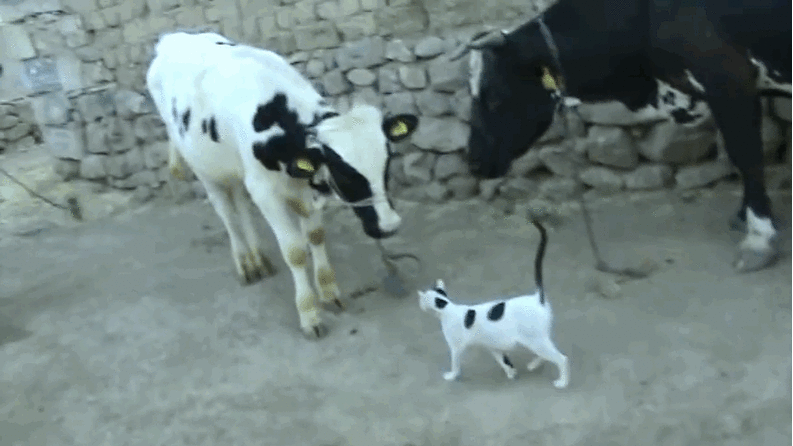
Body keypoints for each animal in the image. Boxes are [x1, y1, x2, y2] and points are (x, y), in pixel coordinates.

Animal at [146, 31, 419, 338]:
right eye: (344, 172)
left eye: (388, 160)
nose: (389, 226)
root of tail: (173, 37)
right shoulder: (266, 192)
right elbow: (295, 252)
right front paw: (309, 314)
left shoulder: (303, 187)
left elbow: (316, 236)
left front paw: (328, 292)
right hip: (202, 166)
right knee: (226, 213)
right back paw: (246, 264)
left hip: (236, 168)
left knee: (240, 202)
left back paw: (259, 259)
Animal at [458, 0, 792, 273]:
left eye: (495, 96)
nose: (474, 161)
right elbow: (742, 155)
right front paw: (746, 214)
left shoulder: (728, 80)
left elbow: (746, 154)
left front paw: (759, 238)